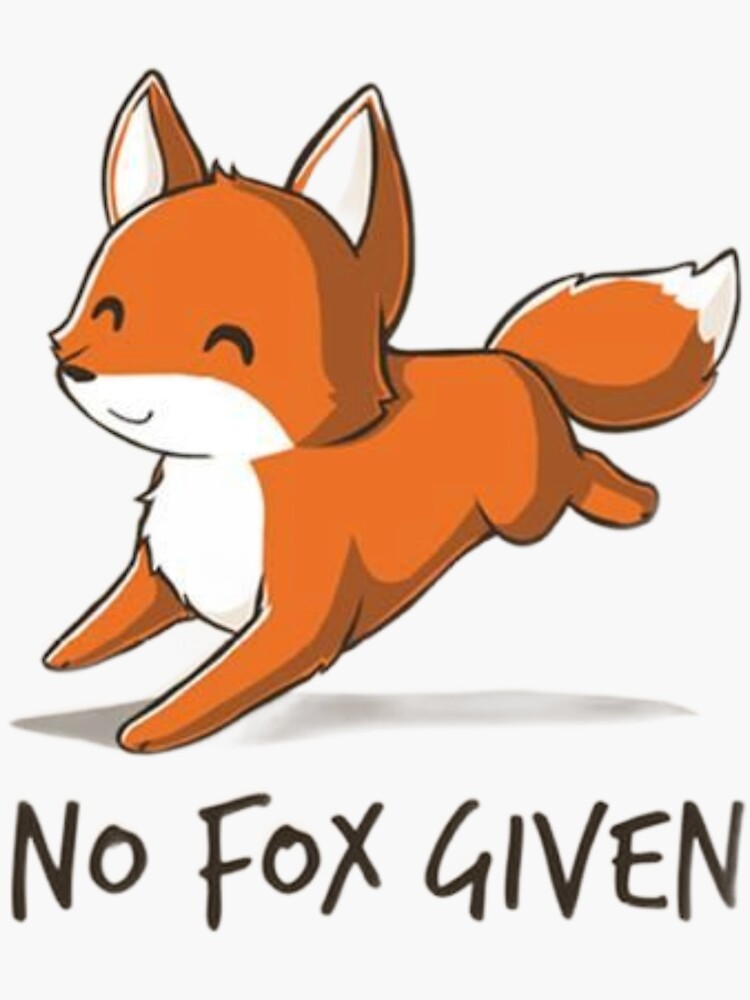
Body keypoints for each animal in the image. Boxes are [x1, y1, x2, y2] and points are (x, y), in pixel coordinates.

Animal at [45, 71, 740, 753]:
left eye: (229, 344)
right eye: (109, 313)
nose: (80, 371)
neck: (226, 475)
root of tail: (511, 359)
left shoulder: (299, 623)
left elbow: (209, 689)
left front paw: (145, 729)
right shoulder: (164, 574)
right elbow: (103, 620)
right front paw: (61, 653)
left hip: (524, 511)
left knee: (581, 466)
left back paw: (631, 500)